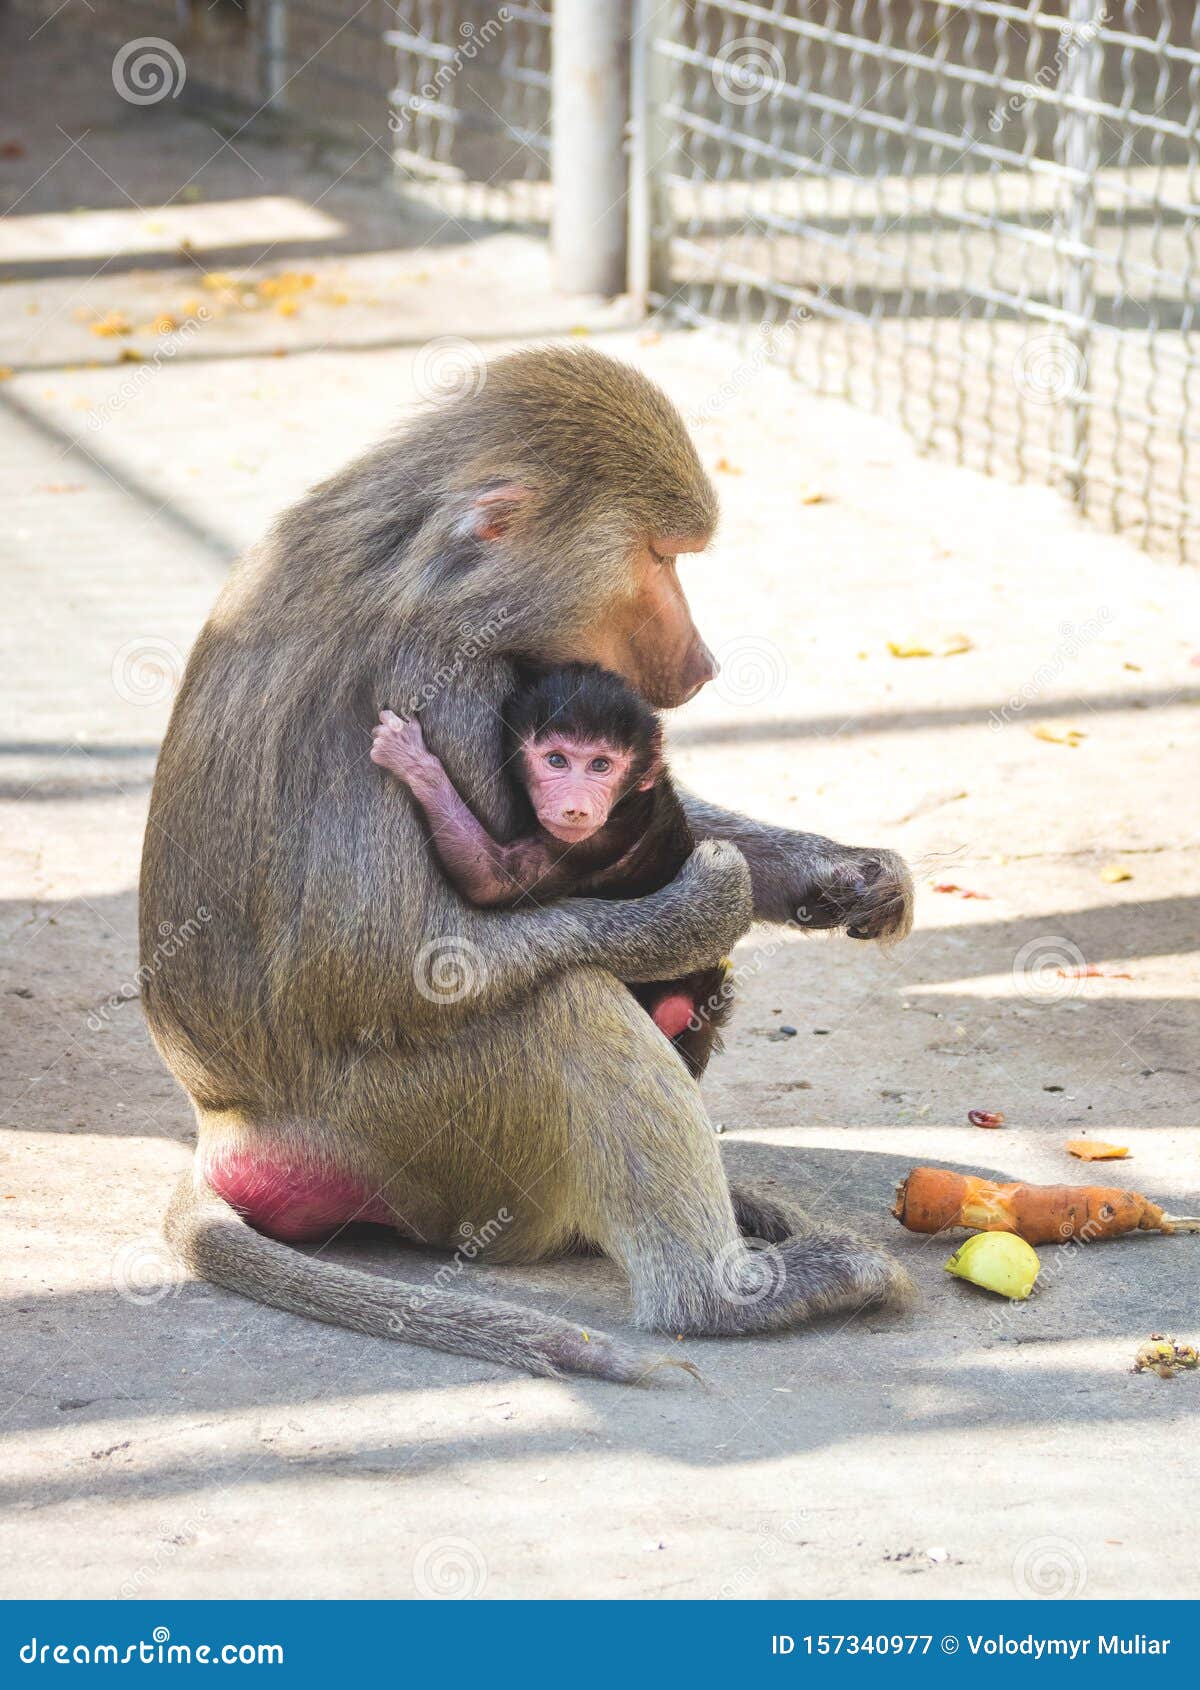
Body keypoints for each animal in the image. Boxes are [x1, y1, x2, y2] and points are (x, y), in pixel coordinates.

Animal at [369, 661, 734, 1079]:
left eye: (601, 765)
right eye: (557, 760)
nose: (576, 808)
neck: (631, 800)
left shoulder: (599, 838)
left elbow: (493, 880)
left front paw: (415, 763)